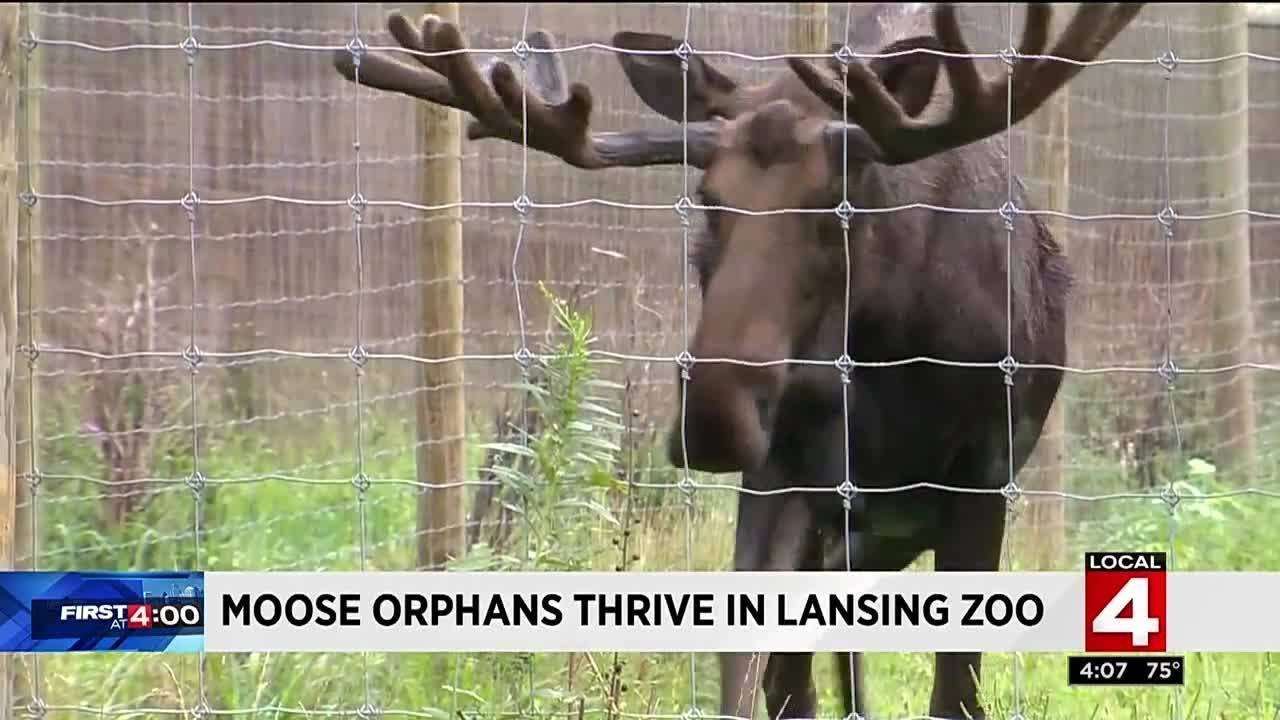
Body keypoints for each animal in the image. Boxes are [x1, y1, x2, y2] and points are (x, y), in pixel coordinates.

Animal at [332, 3, 1144, 718]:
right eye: (707, 194)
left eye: (840, 196)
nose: (716, 417)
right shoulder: (782, 480)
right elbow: (759, 682)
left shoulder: (980, 474)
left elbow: (954, 694)